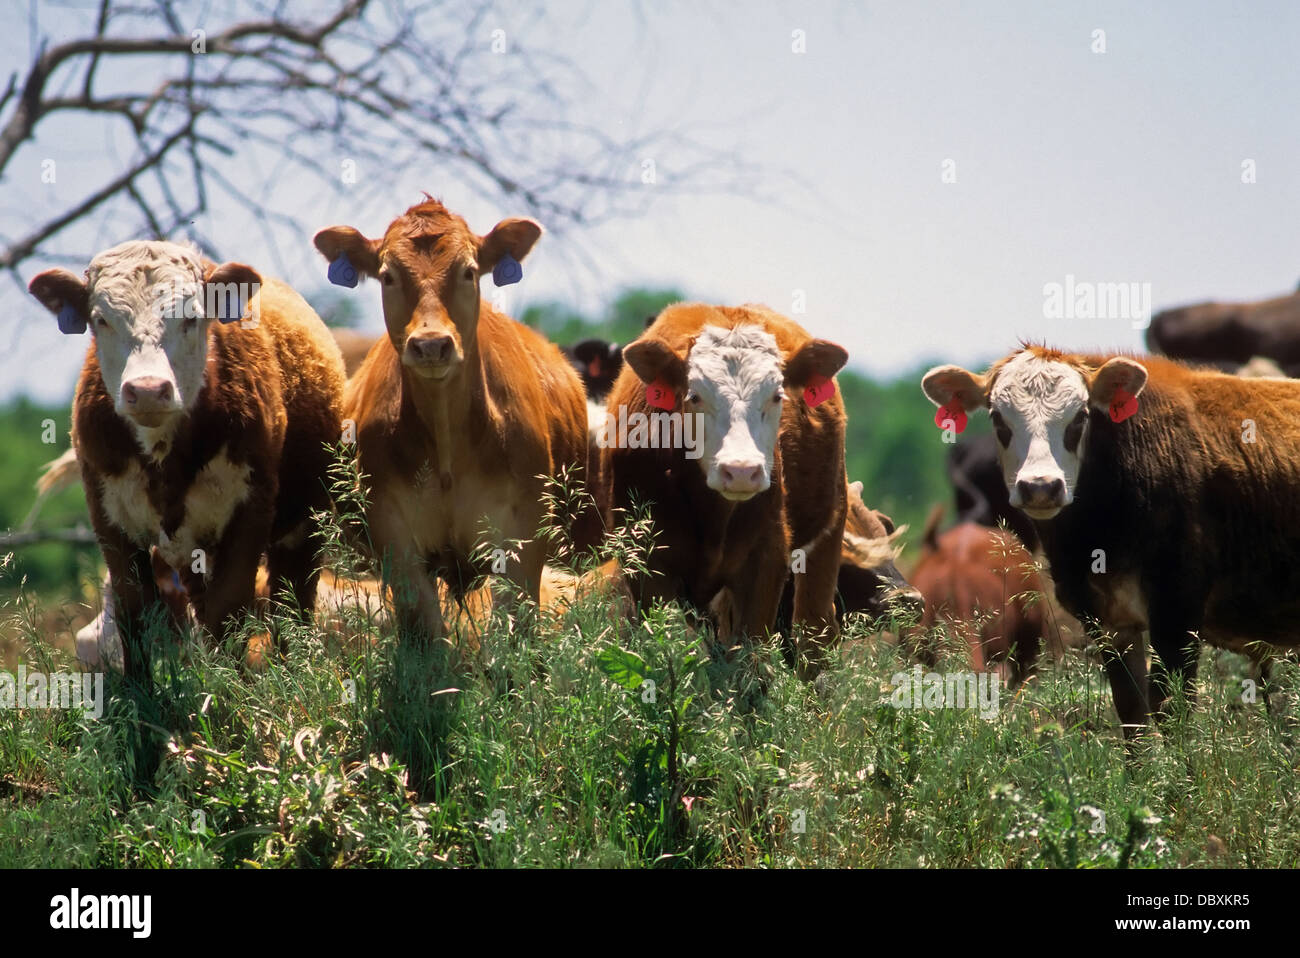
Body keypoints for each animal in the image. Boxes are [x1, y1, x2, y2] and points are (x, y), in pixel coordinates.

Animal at [28, 240, 346, 678]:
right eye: (100, 320)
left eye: (191, 316)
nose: (147, 390)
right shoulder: (109, 518)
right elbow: (133, 608)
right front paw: (140, 691)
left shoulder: (249, 512)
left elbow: (229, 608)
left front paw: (233, 688)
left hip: (303, 527)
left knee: (290, 603)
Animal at [313, 197, 600, 648]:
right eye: (387, 276)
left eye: (468, 271)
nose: (431, 345)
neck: (448, 442)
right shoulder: (394, 534)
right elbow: (427, 632)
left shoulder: (525, 532)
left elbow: (515, 630)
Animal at [600, 303, 849, 678]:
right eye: (694, 396)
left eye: (777, 396)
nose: (742, 471)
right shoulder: (648, 562)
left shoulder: (765, 559)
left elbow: (750, 665)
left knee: (813, 635)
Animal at [922, 345, 1300, 738]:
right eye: (998, 418)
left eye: (1080, 417)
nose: (1040, 486)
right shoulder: (1111, 624)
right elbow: (1133, 716)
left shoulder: (1177, 616)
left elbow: (1170, 713)